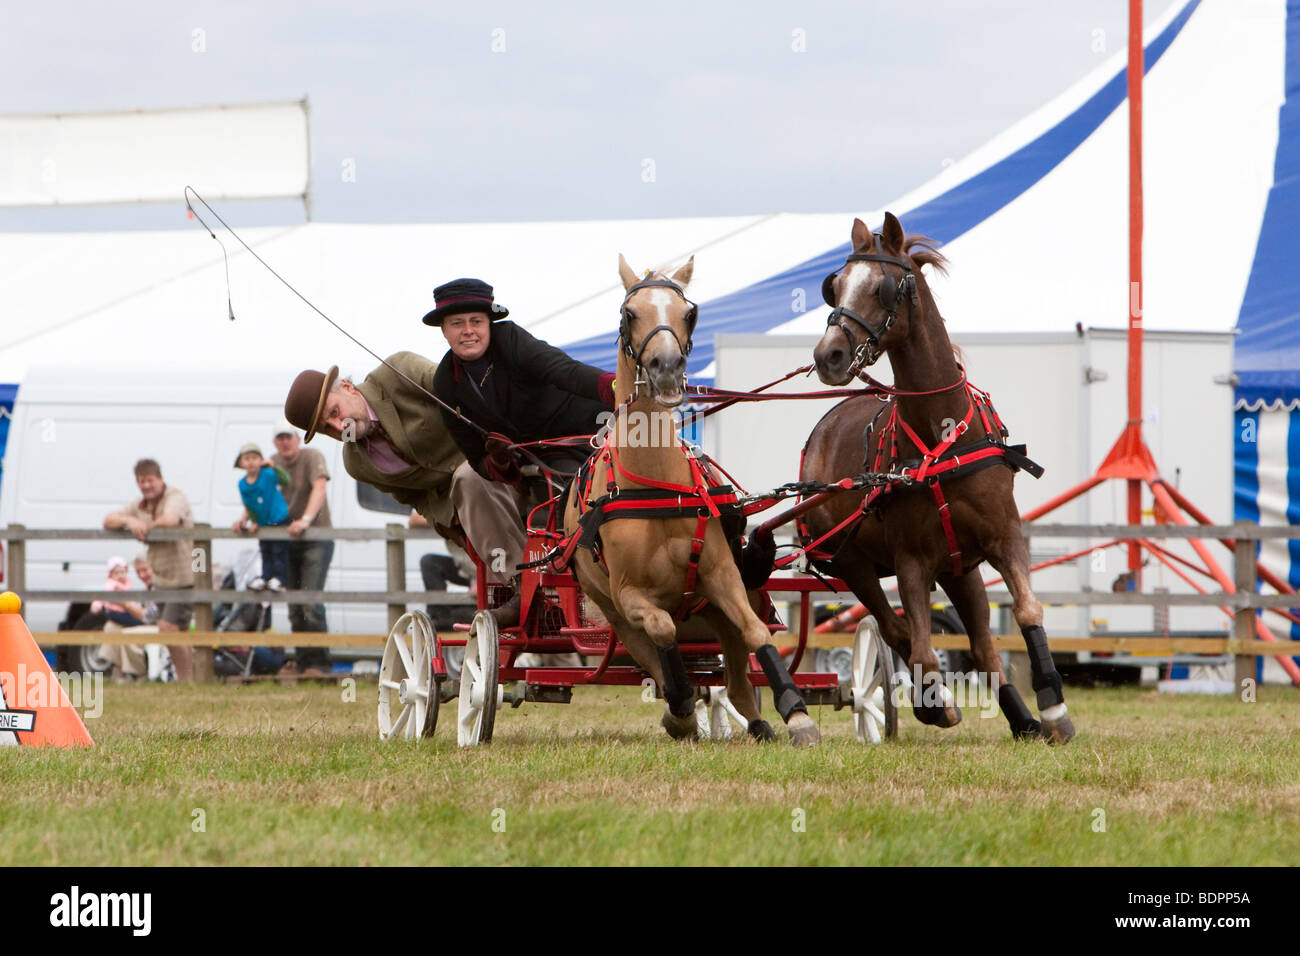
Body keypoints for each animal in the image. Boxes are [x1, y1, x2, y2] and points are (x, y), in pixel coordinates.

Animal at [562, 255, 820, 746]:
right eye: (630, 313)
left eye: (689, 313)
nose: (666, 366)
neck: (659, 487)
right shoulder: (630, 595)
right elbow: (662, 632)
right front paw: (681, 706)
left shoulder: (722, 577)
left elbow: (756, 632)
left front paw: (796, 712)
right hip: (614, 613)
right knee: (655, 657)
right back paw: (681, 712)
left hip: (715, 610)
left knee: (736, 679)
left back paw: (755, 722)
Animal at [800, 212, 1075, 744]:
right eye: (835, 286)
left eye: (884, 287)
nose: (829, 356)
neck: (939, 437)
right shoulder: (910, 561)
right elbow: (924, 648)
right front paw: (936, 704)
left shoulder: (1004, 538)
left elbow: (1027, 612)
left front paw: (1052, 709)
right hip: (854, 564)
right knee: (897, 631)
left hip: (959, 568)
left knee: (984, 648)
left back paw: (1023, 719)